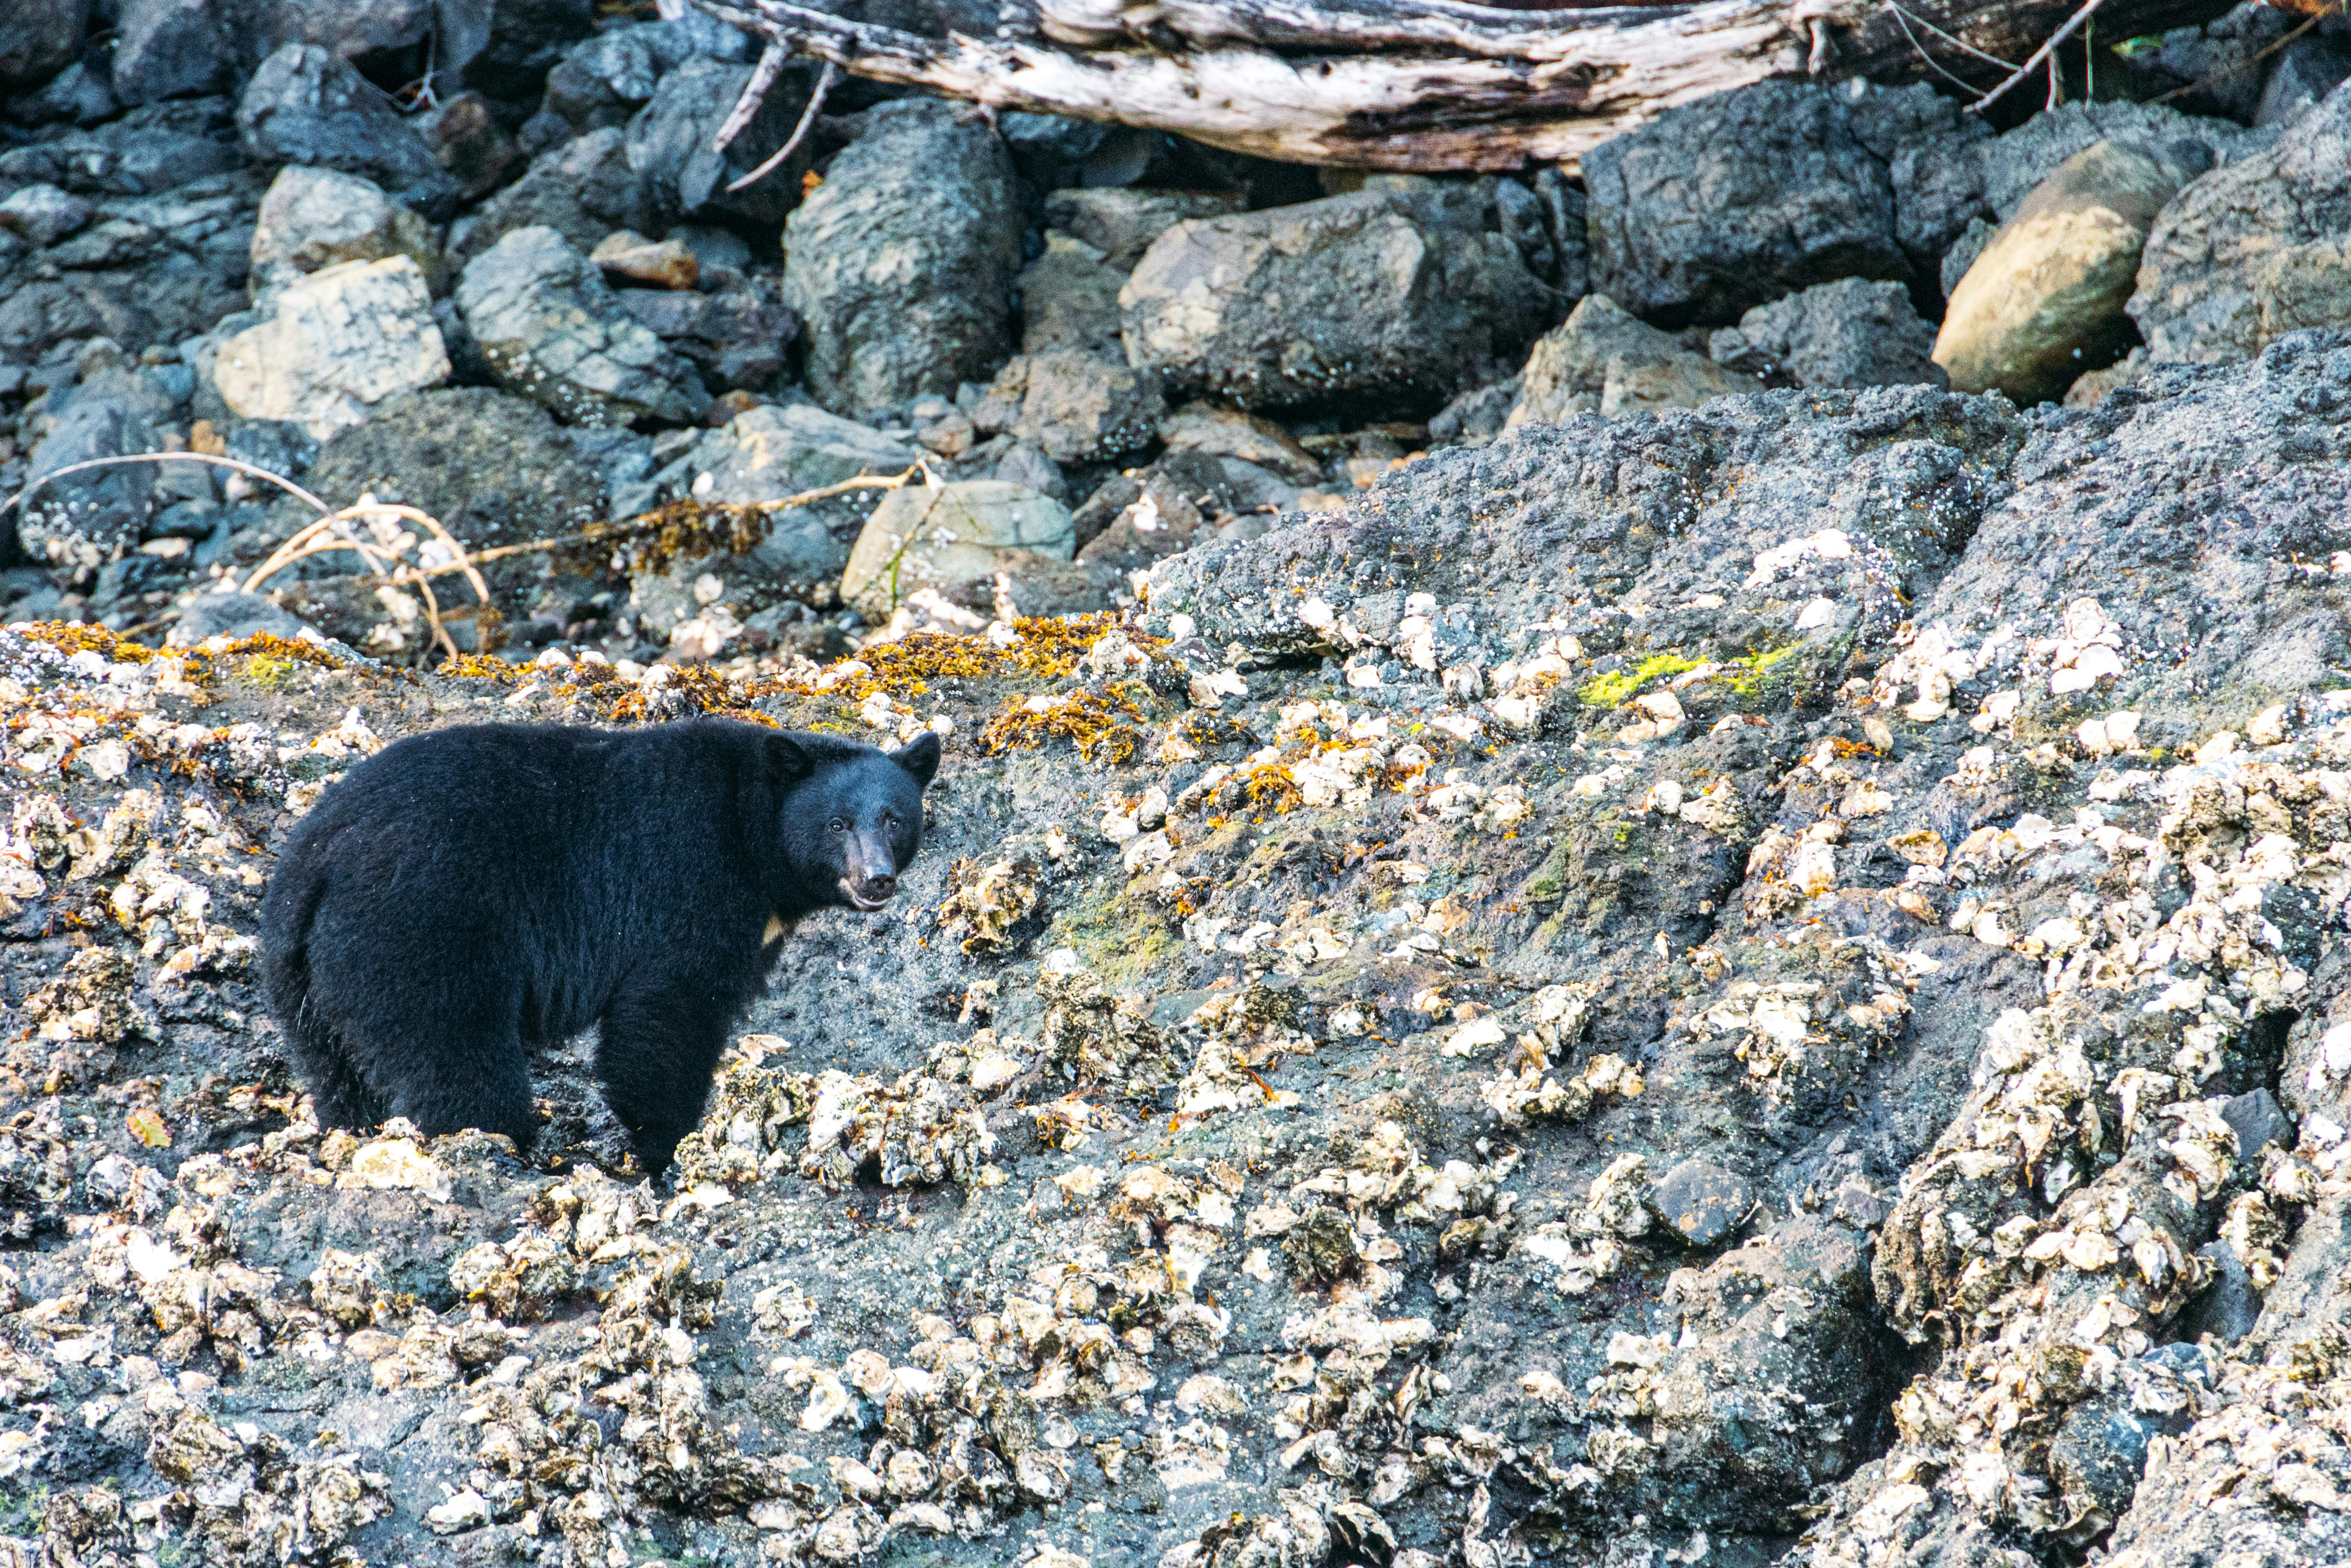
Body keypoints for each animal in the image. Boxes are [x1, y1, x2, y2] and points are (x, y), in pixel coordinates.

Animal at [259, 718, 940, 1173]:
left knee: (337, 1070)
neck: (752, 828)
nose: (876, 878)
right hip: (420, 933)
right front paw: (665, 1150)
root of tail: (315, 863)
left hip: (307, 976)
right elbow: (666, 1015)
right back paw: (505, 1148)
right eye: (837, 823)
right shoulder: (690, 882)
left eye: (894, 818)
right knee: (457, 1059)